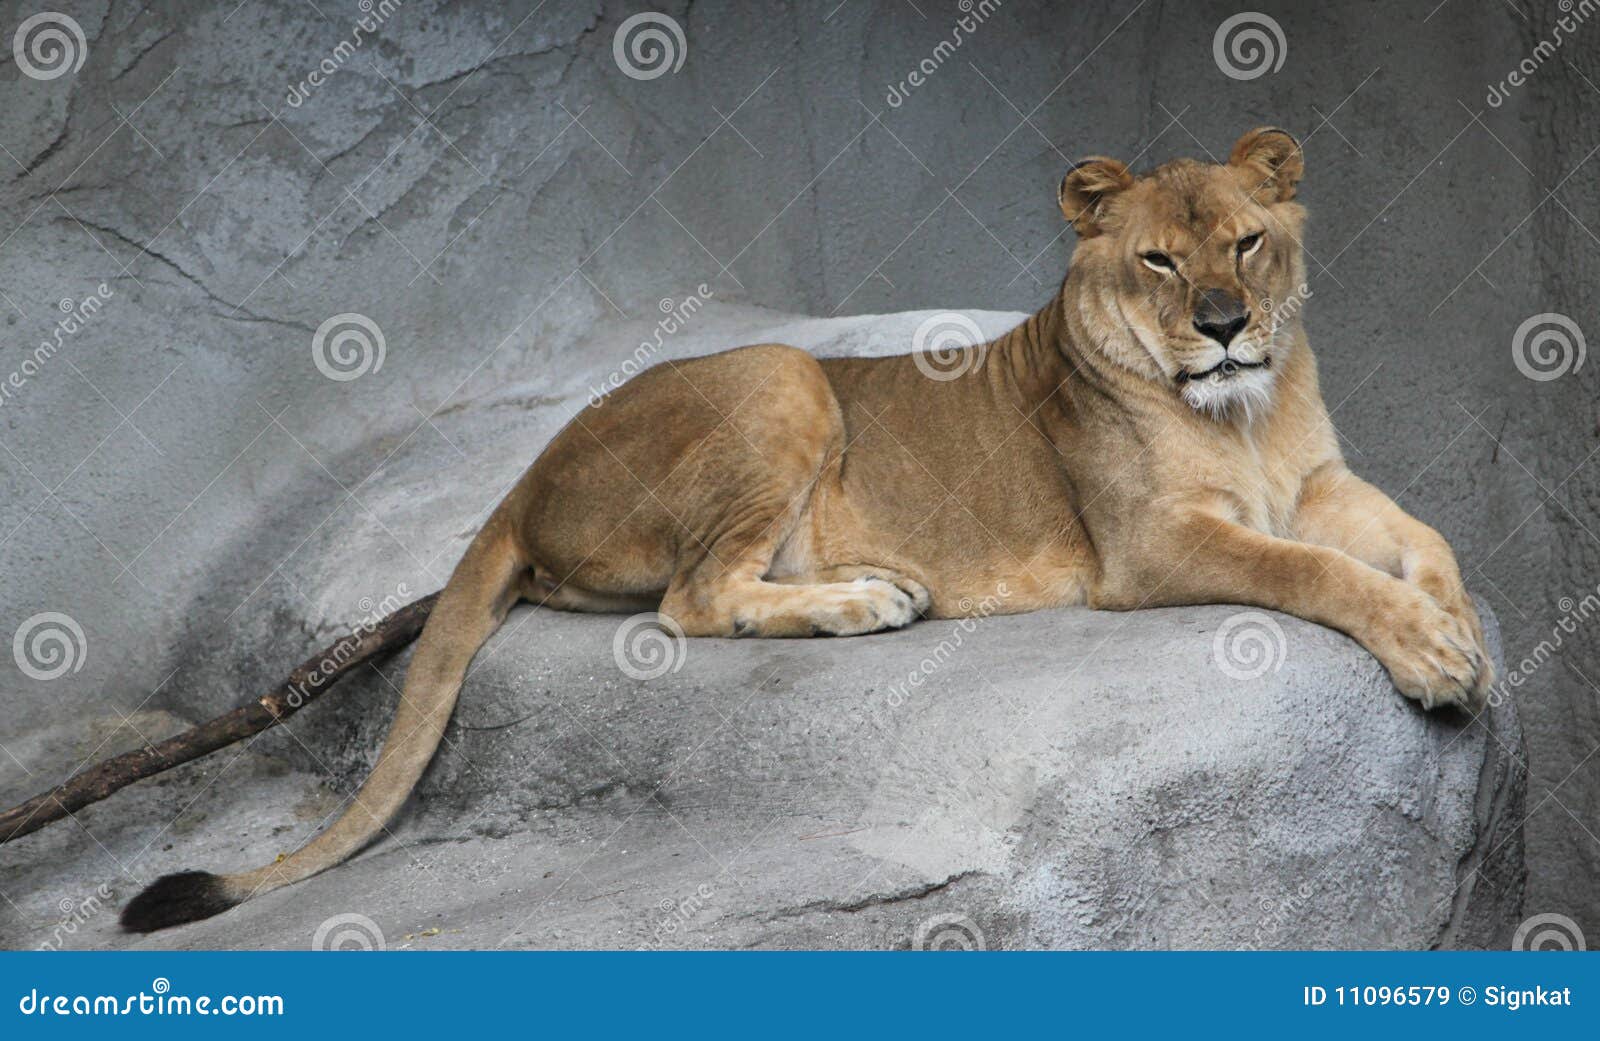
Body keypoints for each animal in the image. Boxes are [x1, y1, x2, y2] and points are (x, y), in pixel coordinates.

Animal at [121, 127, 1492, 932]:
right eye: (1158, 262)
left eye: (1247, 243)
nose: (1221, 325)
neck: (1246, 416)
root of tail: (524, 475)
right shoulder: (1153, 546)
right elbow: (1310, 572)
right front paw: (1432, 654)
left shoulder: (1321, 483)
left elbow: (1425, 538)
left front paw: (1457, 624)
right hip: (782, 374)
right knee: (695, 598)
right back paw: (870, 598)